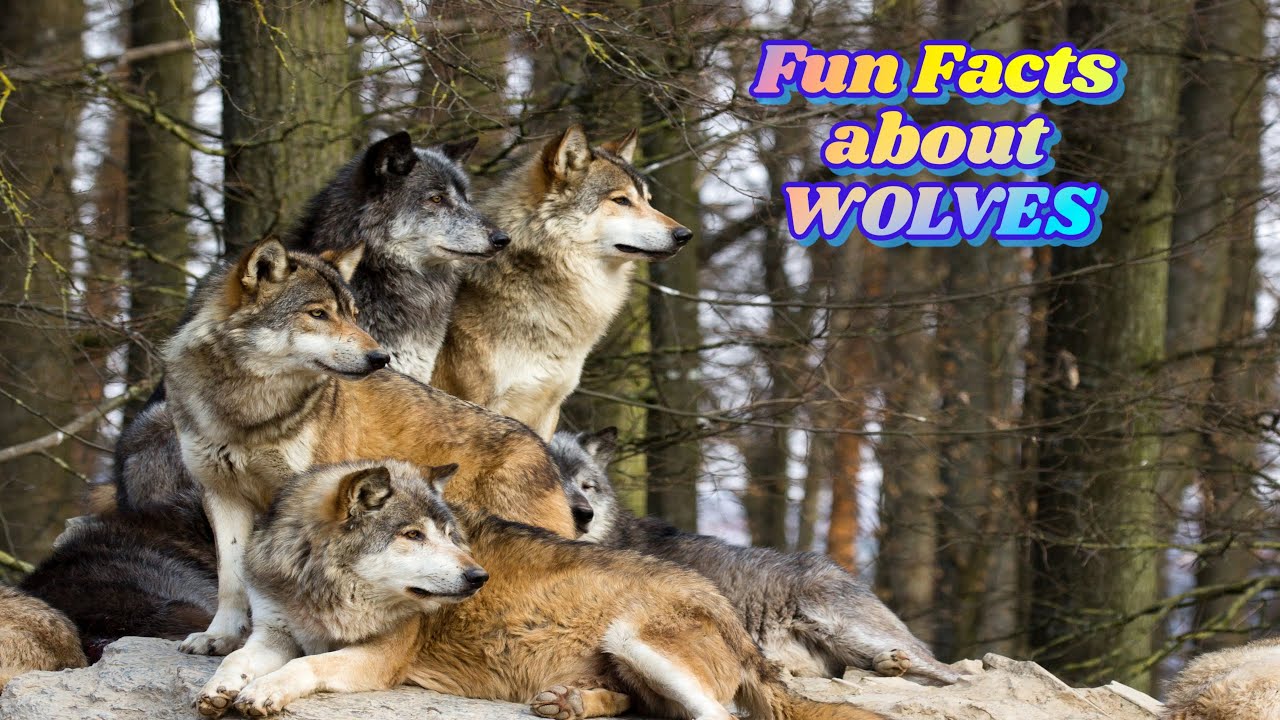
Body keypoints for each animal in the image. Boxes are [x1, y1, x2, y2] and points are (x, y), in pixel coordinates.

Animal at [164, 239, 574, 656]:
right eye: (318, 314)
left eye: (354, 315)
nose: (380, 358)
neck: (249, 413)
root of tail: (543, 448)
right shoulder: (222, 495)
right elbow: (231, 580)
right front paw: (221, 636)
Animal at [196, 460, 884, 720]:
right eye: (413, 535)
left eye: (450, 535)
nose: (476, 578)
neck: (322, 589)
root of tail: (732, 616)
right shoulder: (273, 630)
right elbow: (238, 658)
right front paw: (222, 687)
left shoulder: (378, 658)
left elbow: (306, 668)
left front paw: (262, 694)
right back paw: (570, 703)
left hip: (635, 638)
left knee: (716, 716)